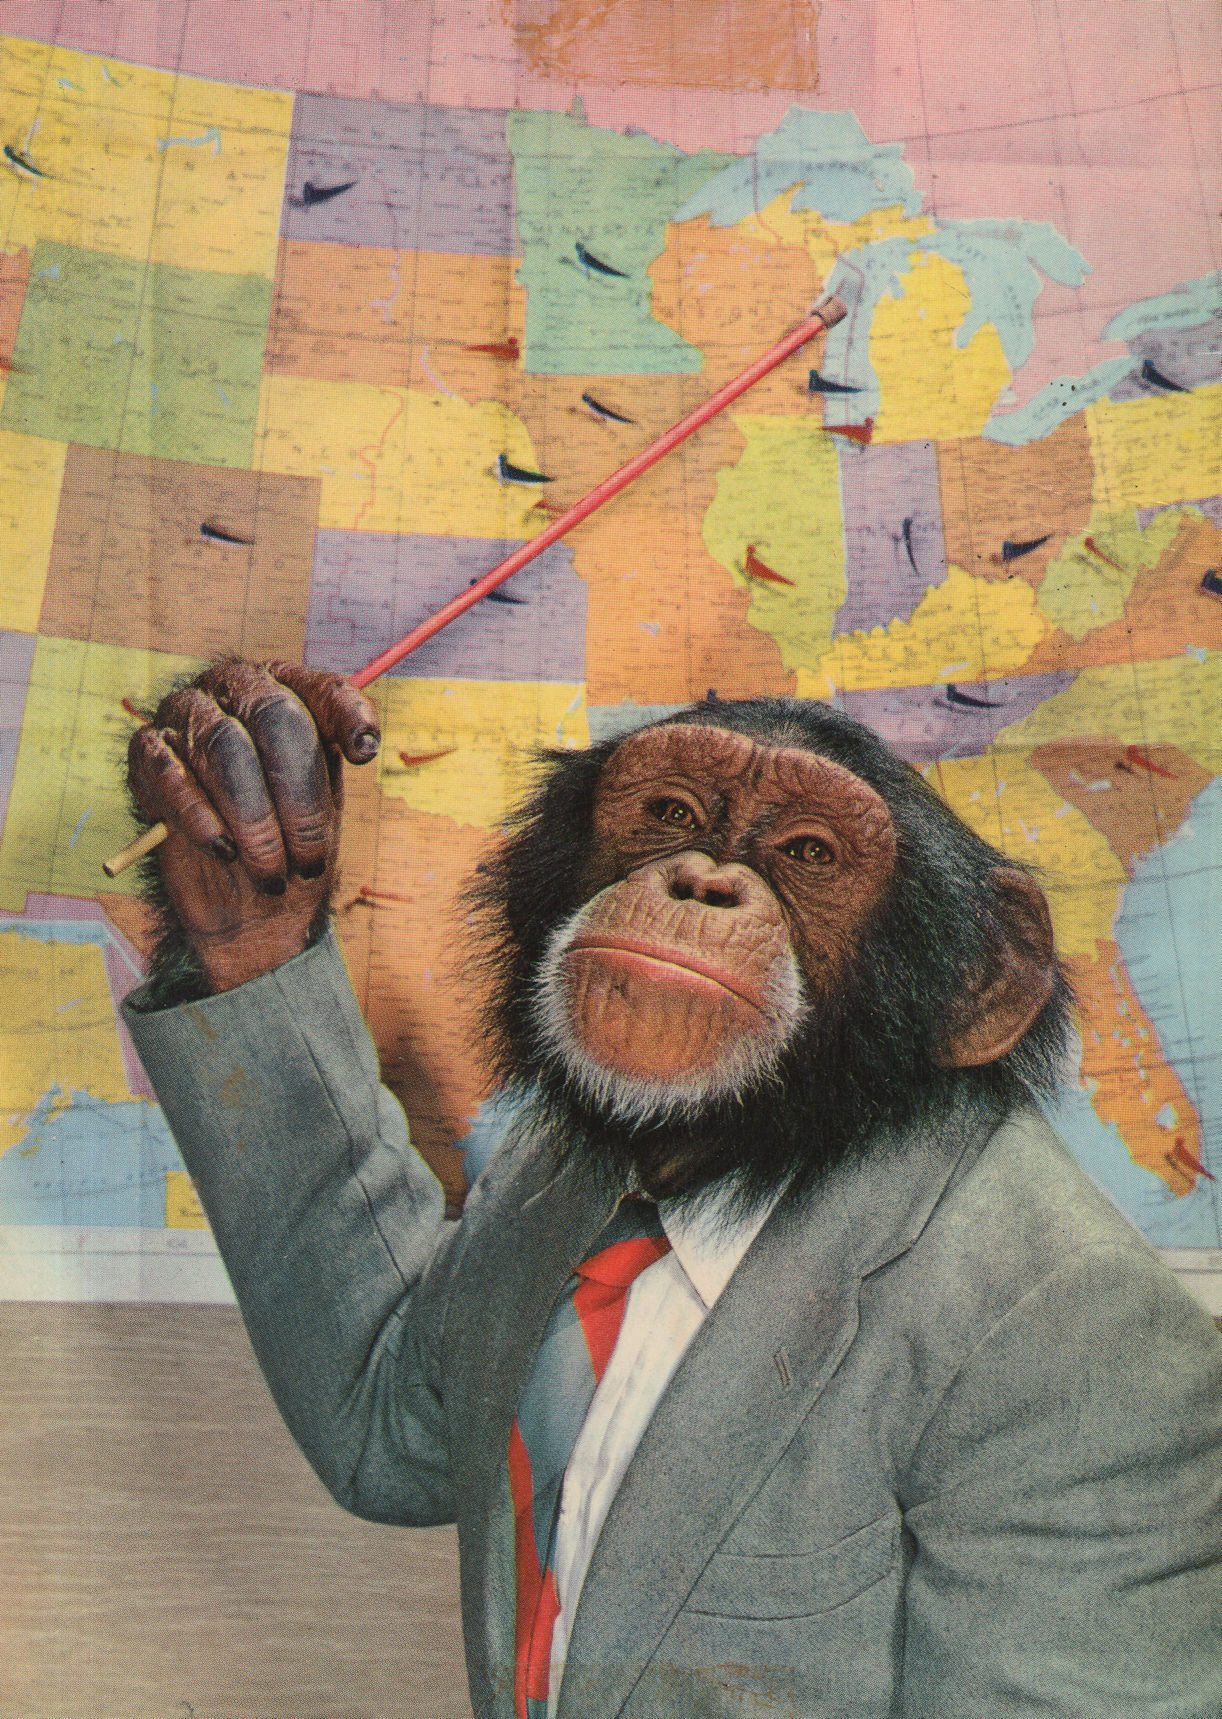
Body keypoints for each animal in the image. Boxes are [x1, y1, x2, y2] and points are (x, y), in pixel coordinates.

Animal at [123, 660, 1222, 1719]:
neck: (738, 1169)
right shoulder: (513, 1210)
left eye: (810, 852)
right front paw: (243, 784)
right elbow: (379, 1400)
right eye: (671, 811)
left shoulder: (1077, 1408)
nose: (702, 882)